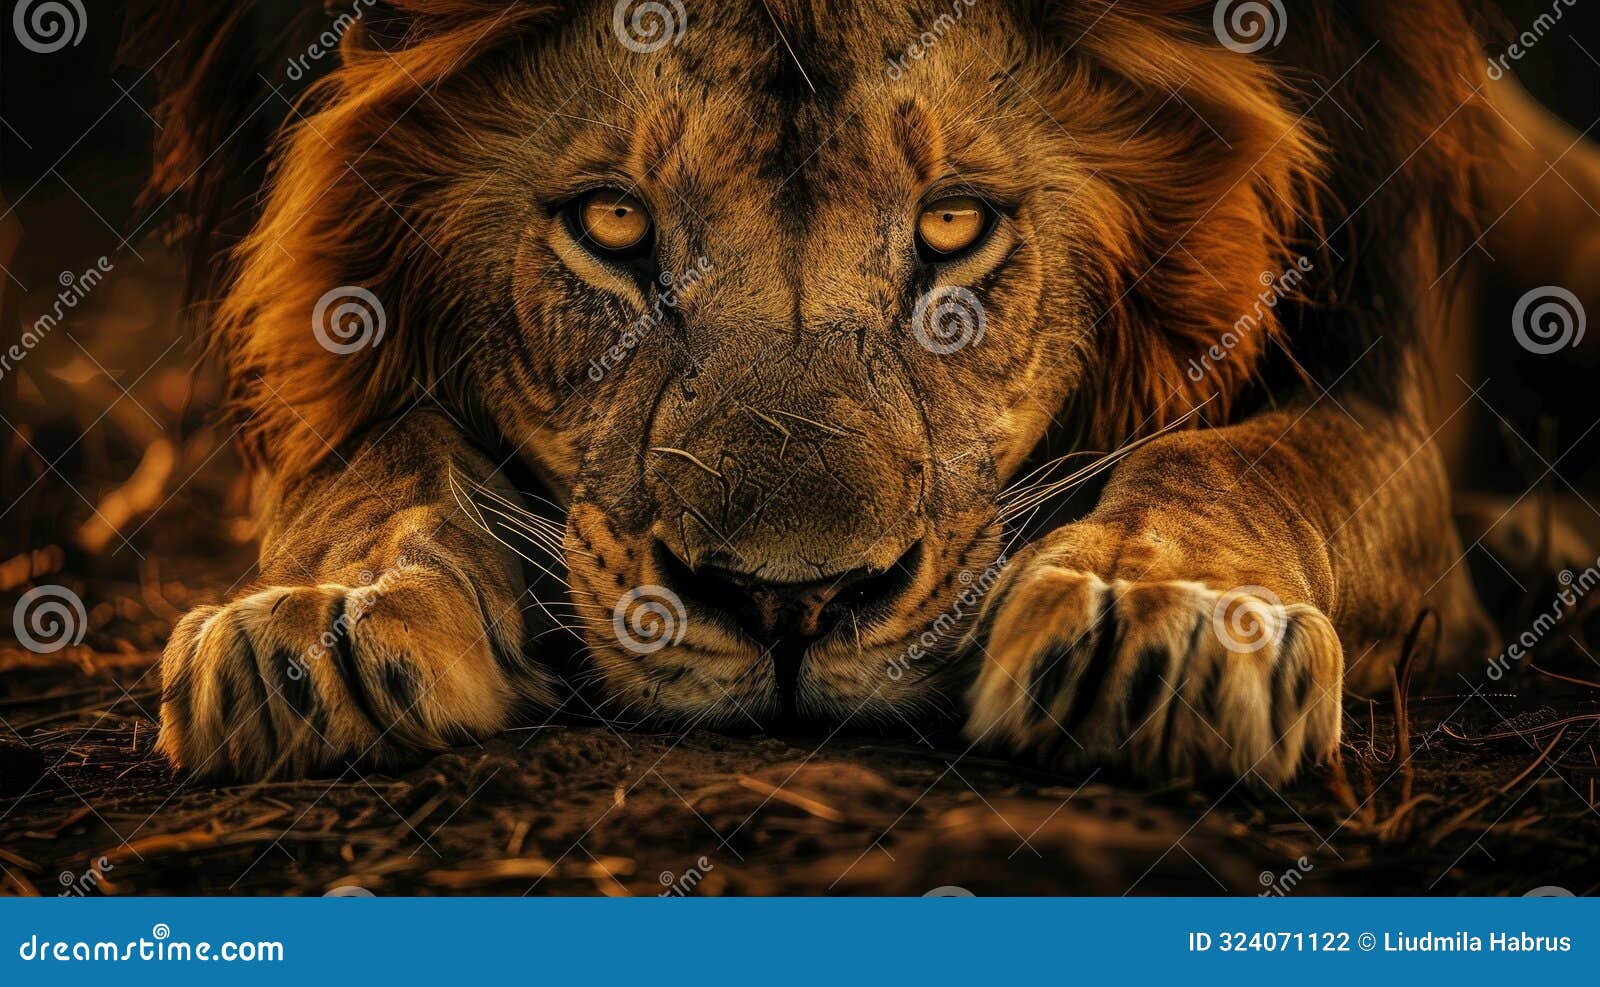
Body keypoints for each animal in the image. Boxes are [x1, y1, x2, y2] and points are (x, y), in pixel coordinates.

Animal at [135, 0, 1600, 784]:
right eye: (613, 224)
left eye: (954, 227)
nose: (793, 606)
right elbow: (375, 456)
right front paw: (315, 623)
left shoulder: (1377, 371)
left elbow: (1242, 457)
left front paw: (1170, 621)